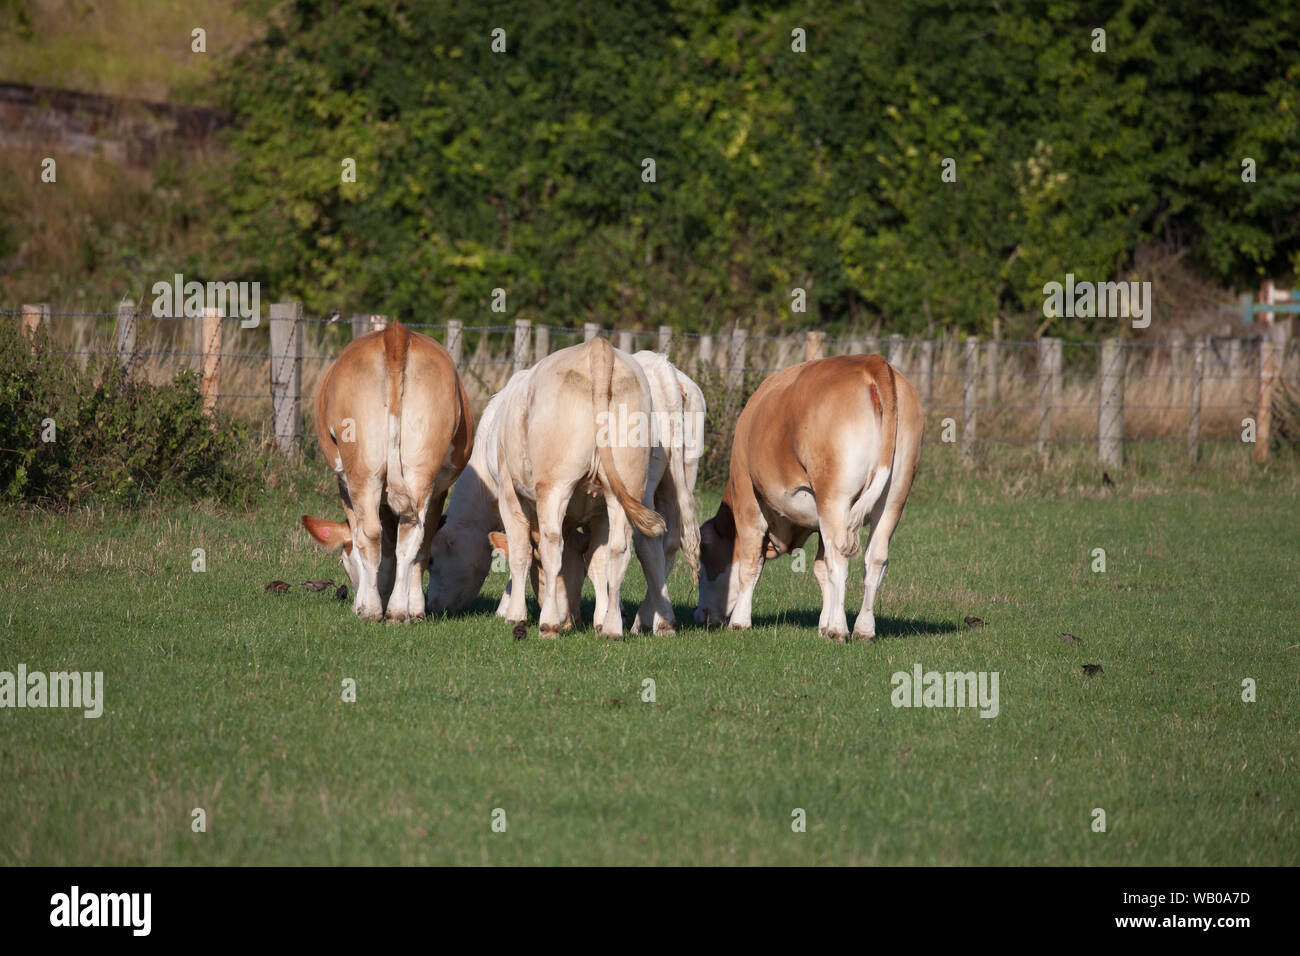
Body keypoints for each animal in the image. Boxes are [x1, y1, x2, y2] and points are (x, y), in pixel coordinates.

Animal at [299, 321, 474, 622]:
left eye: (342, 560)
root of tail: (396, 333)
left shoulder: (342, 483)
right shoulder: (440, 490)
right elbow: (414, 549)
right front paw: (414, 607)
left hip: (362, 470)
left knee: (369, 533)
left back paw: (371, 610)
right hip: (421, 470)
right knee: (413, 536)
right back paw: (398, 611)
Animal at [426, 337, 665, 638]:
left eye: (432, 561)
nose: (432, 606)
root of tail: (598, 347)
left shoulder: (509, 493)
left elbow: (520, 553)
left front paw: (512, 612)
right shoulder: (598, 513)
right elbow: (595, 561)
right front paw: (600, 618)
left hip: (555, 486)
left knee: (553, 544)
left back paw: (549, 623)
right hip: (625, 486)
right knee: (618, 549)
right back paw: (611, 628)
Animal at [694, 354, 923, 642]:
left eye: (704, 556)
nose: (699, 616)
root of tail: (872, 361)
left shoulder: (747, 499)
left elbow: (750, 564)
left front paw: (740, 621)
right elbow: (820, 569)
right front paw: (823, 623)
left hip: (834, 499)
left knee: (840, 559)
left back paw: (839, 630)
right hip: (893, 499)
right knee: (875, 559)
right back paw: (863, 629)